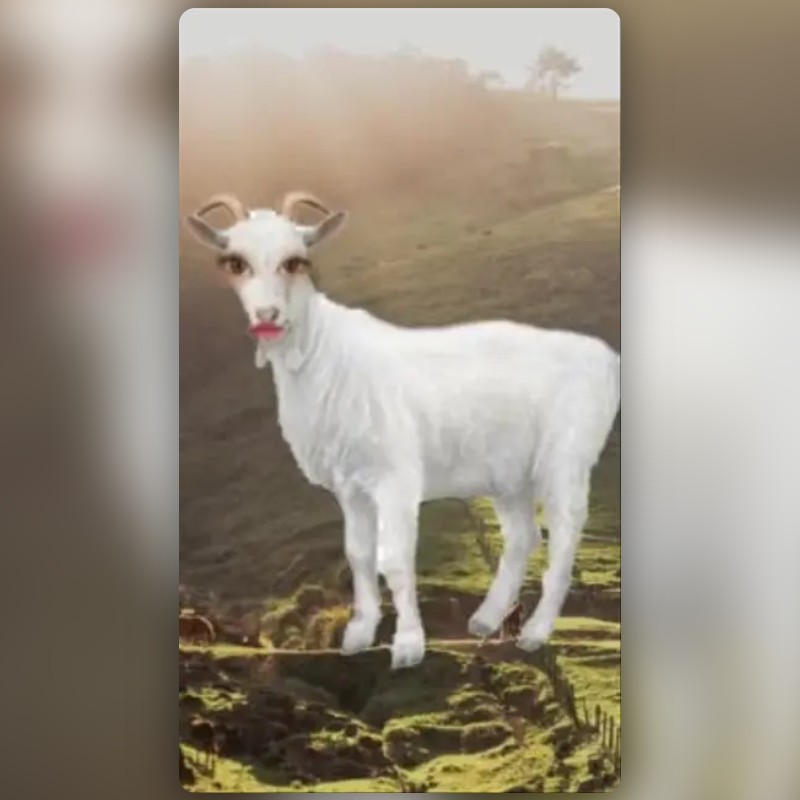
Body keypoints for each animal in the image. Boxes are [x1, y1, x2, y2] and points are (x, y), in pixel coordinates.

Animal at [184, 191, 620, 669]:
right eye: (235, 262)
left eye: (296, 261)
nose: (267, 316)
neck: (323, 355)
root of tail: (602, 355)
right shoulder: (350, 487)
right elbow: (359, 555)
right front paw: (358, 635)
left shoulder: (395, 480)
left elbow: (393, 559)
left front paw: (409, 645)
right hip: (510, 474)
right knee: (524, 537)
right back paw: (485, 620)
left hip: (567, 458)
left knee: (564, 536)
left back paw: (536, 632)